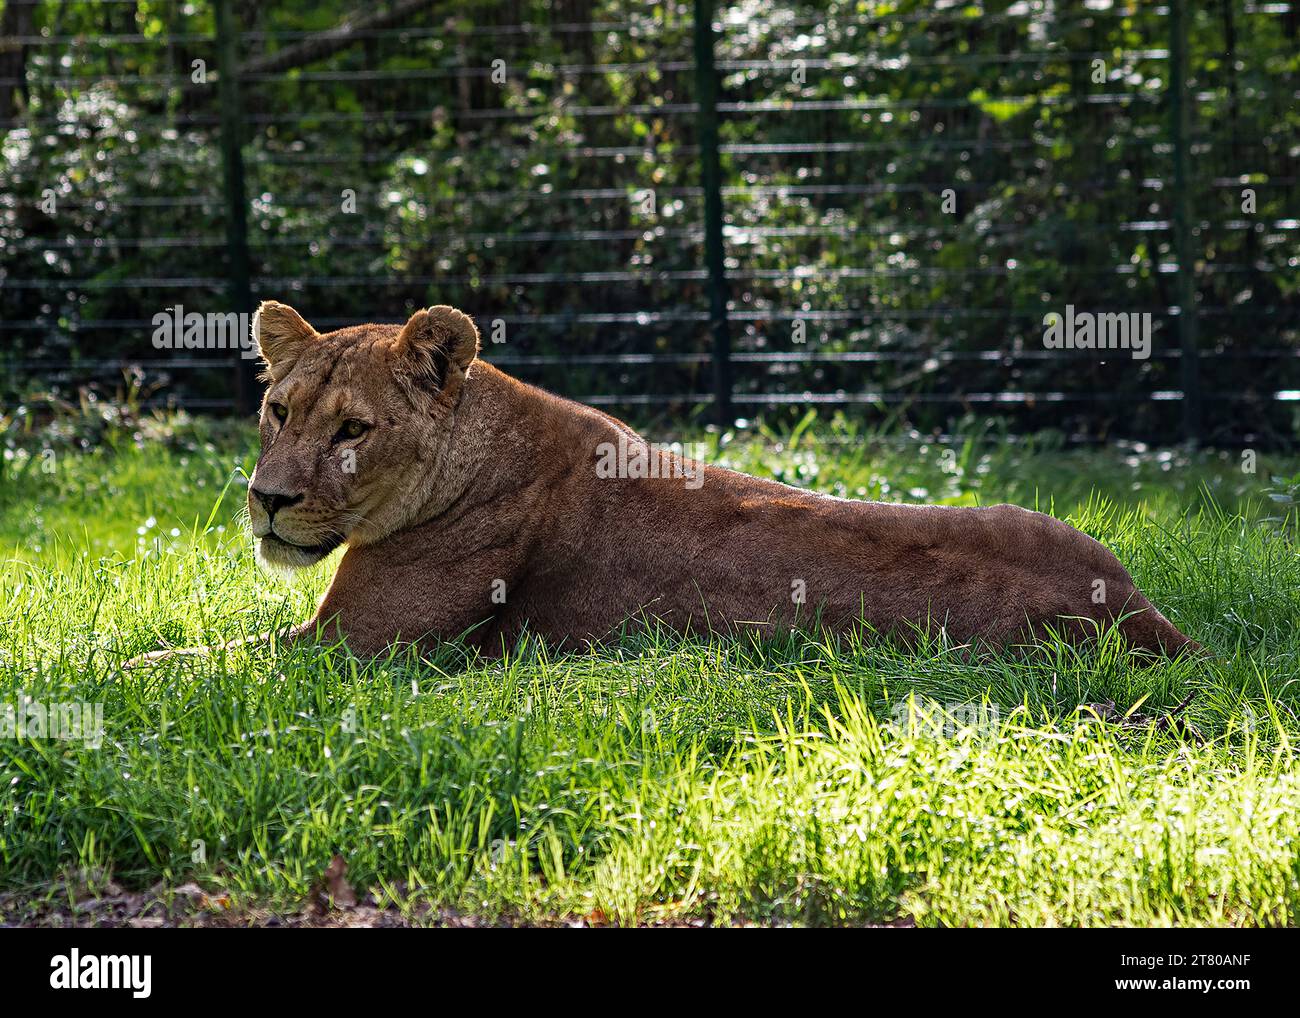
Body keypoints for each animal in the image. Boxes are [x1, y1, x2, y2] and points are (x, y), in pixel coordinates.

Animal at [129, 301, 1200, 664]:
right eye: (278, 412)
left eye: (353, 430)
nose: (268, 499)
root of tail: (1138, 611)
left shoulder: (354, 651)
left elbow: (183, 667)